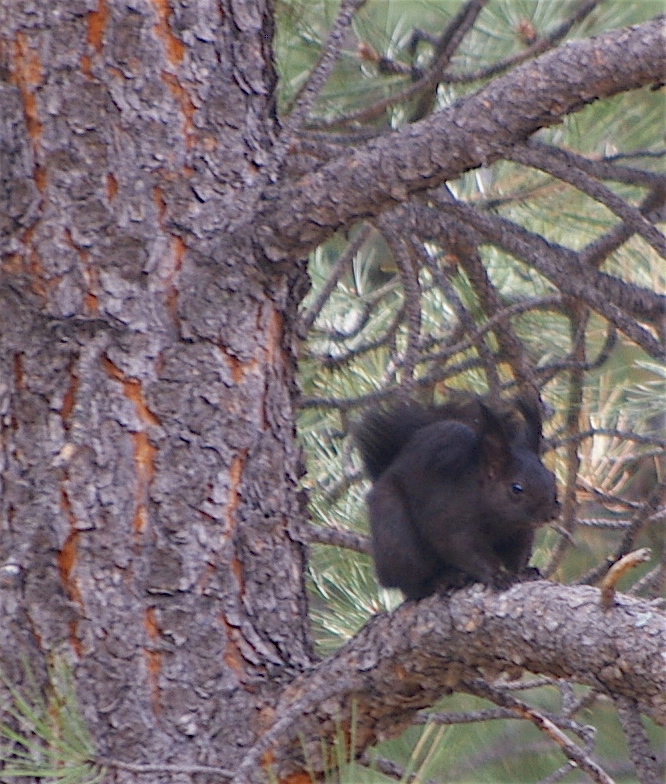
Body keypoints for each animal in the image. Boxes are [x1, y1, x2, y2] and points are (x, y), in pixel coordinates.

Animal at [354, 394, 560, 600]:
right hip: (396, 533)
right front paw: (497, 576)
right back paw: (442, 580)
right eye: (517, 488)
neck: (501, 522)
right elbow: (466, 552)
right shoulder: (451, 523)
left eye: (552, 476)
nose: (551, 514)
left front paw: (523, 572)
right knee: (413, 583)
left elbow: (518, 555)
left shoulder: (521, 532)